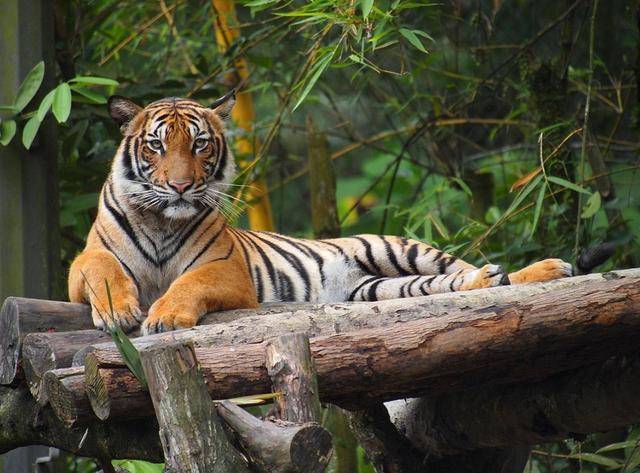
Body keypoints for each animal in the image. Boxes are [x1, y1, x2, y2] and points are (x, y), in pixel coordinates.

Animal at [68, 91, 573, 335]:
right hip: (380, 288)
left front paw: (166, 317)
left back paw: (547, 269)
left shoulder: (224, 269)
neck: (161, 220)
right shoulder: (81, 264)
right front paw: (118, 313)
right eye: (156, 145)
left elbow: (188, 283)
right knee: (449, 285)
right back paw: (495, 277)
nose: (179, 186)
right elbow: (102, 270)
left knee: (466, 268)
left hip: (400, 248)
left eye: (199, 144)